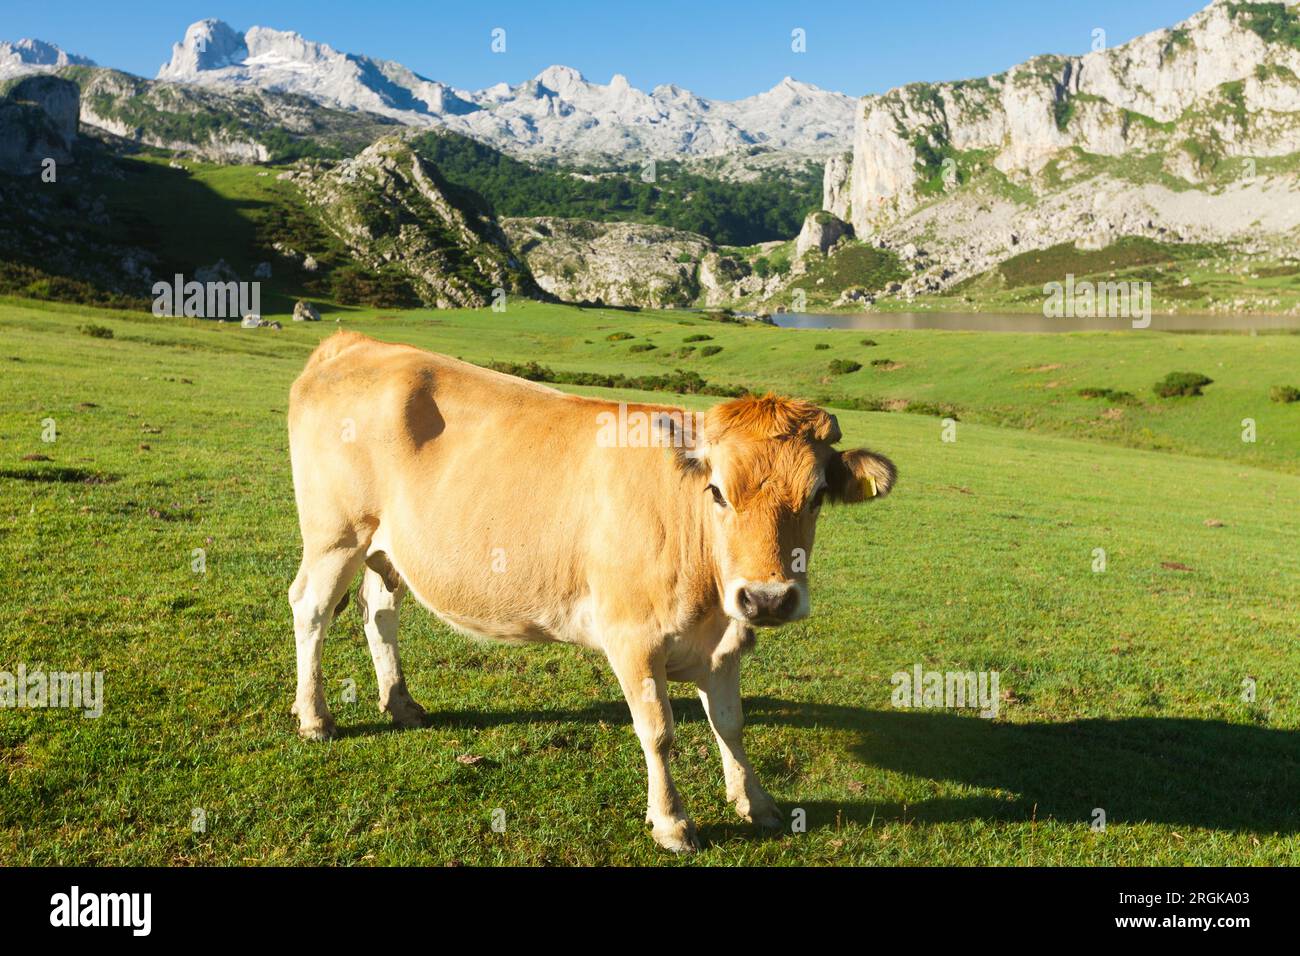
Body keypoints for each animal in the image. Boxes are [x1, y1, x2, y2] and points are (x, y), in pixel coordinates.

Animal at [287, 331, 896, 853]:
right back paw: (315, 718)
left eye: (816, 496)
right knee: (312, 609)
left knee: (379, 611)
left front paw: (756, 801)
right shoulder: (633, 636)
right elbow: (658, 731)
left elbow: (730, 723)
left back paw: (401, 704)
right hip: (336, 534)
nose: (767, 599)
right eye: (718, 492)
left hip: (385, 546)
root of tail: (355, 343)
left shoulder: (726, 642)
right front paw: (671, 822)